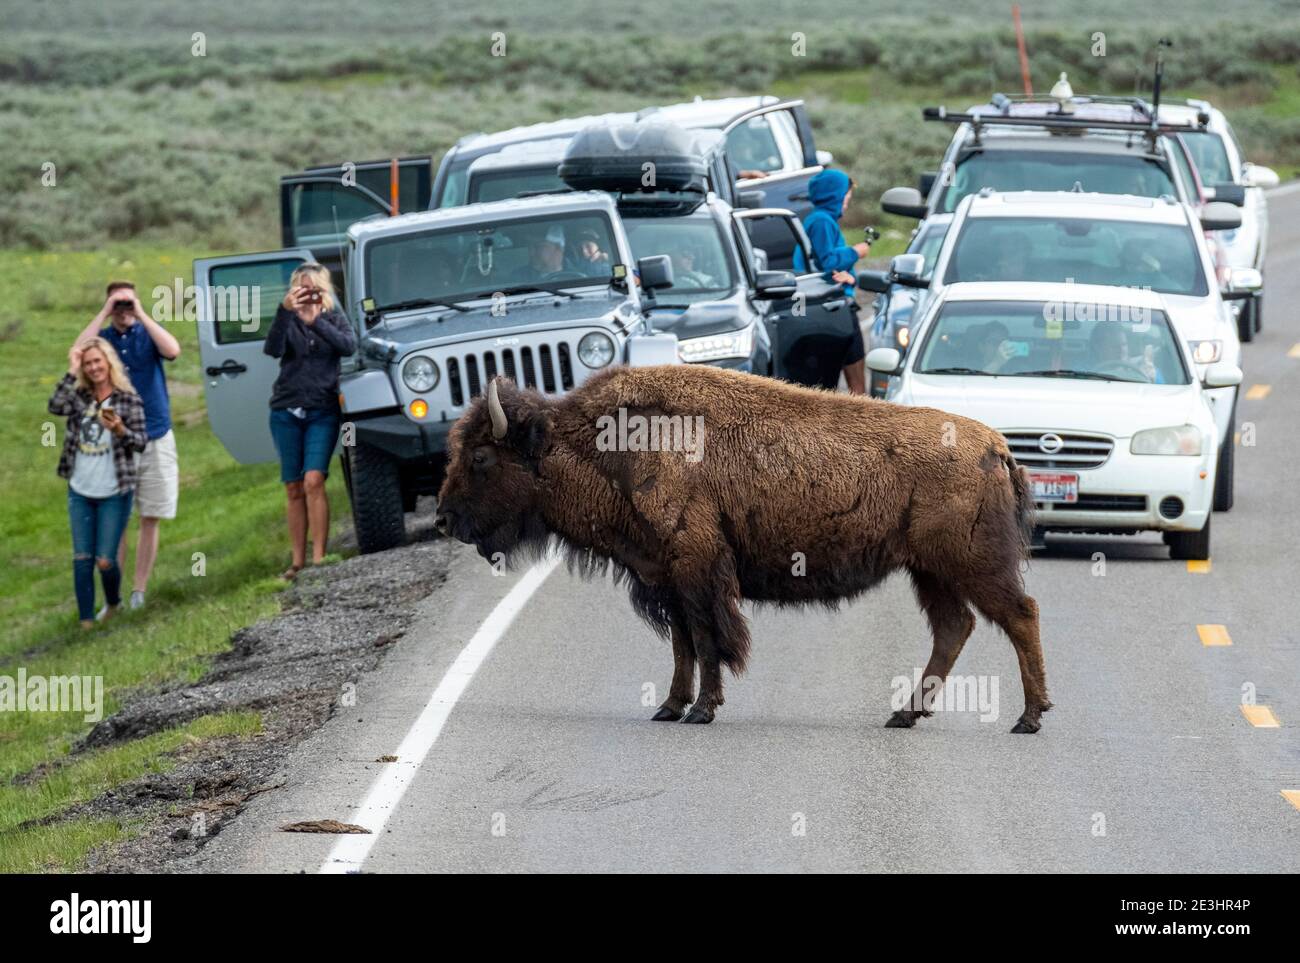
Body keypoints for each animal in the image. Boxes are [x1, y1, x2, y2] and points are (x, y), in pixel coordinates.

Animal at [435, 365, 1051, 733]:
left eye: (482, 457)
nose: (443, 518)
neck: (604, 445)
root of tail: (996, 447)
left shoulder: (696, 569)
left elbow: (709, 639)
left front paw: (701, 710)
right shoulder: (666, 578)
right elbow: (683, 644)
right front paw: (669, 707)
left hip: (970, 565)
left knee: (1020, 615)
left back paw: (1030, 717)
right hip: (931, 571)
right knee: (955, 628)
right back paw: (904, 715)